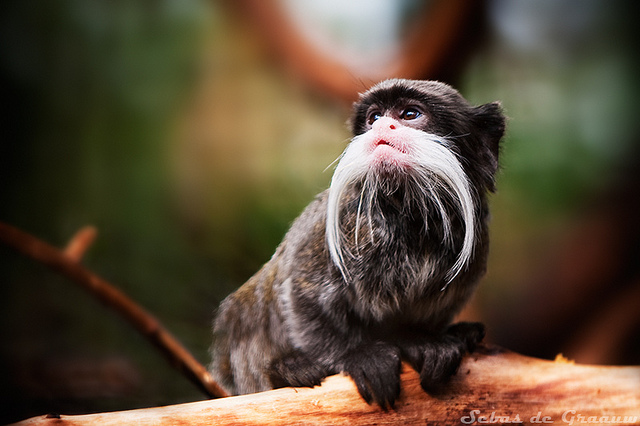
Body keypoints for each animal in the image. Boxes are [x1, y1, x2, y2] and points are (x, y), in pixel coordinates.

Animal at [209, 79, 505, 409]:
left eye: (410, 114)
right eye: (373, 118)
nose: (382, 127)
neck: (409, 214)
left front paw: (422, 341)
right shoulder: (337, 225)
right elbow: (301, 293)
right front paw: (357, 355)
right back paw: (287, 371)